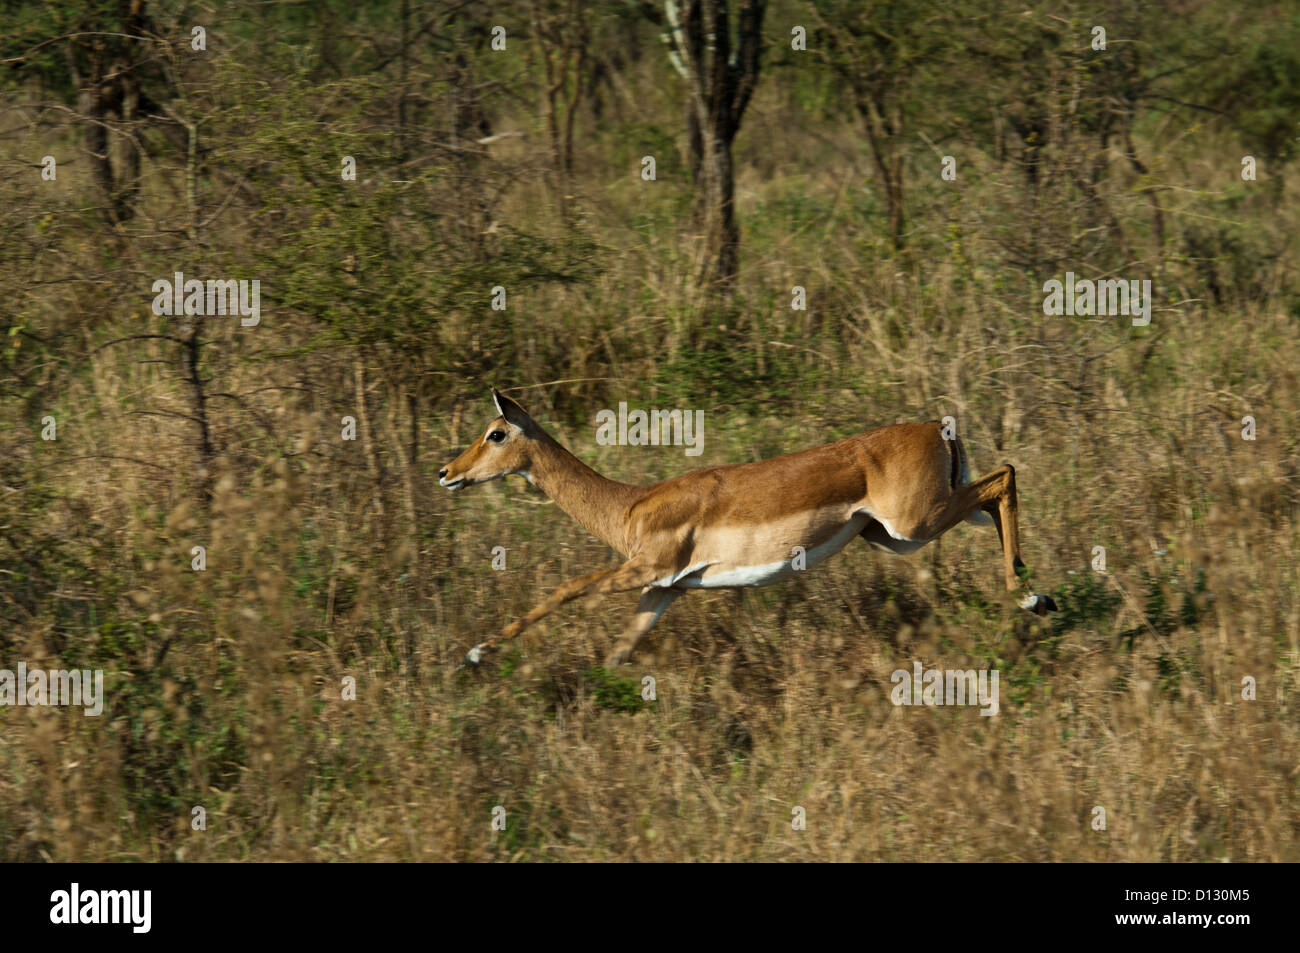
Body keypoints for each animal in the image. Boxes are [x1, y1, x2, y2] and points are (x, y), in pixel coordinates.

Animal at [440, 389, 1057, 669]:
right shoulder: (661, 590)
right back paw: (1034, 594)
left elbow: (566, 589)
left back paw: (1030, 598)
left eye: (496, 432)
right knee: (998, 491)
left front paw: (476, 651)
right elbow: (620, 650)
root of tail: (938, 426)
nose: (447, 472)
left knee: (1005, 475)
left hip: (913, 523)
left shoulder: (646, 568)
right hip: (898, 531)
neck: (629, 505)